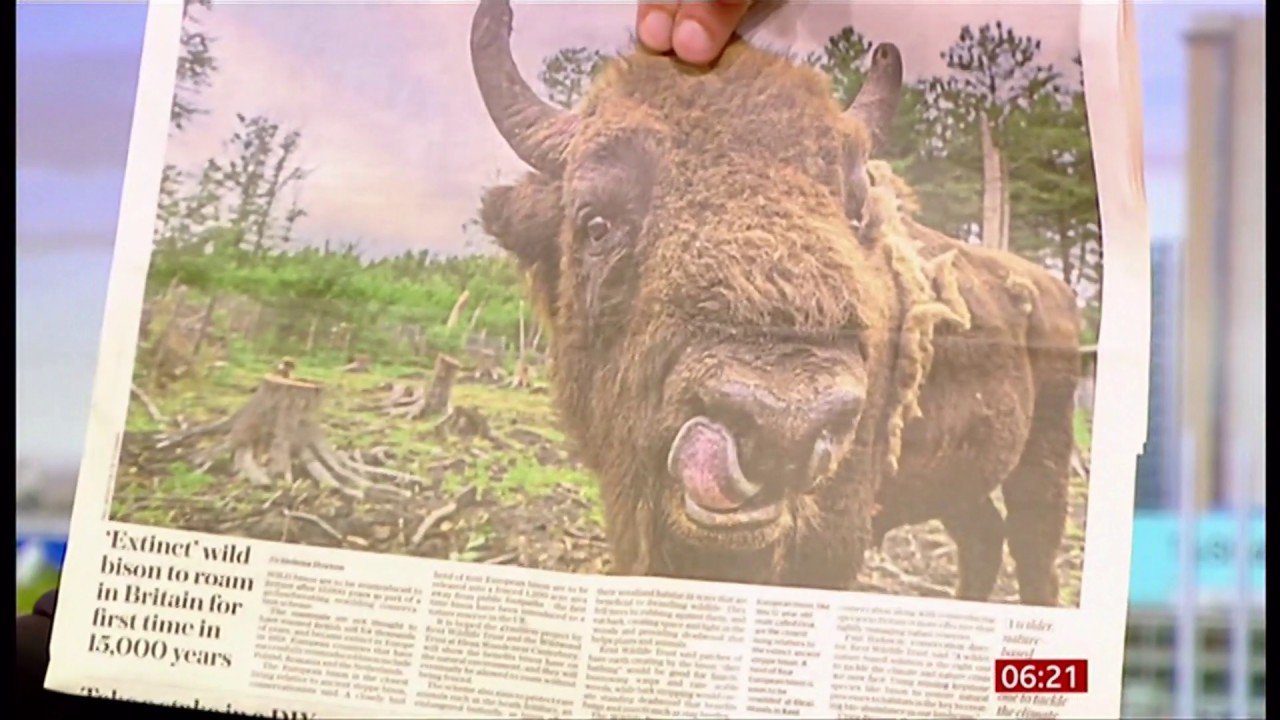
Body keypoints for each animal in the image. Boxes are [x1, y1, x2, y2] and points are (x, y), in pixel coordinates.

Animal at [469, 0, 1082, 606]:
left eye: (854, 215)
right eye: (596, 223)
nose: (785, 424)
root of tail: (1055, 293)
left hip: (1043, 461)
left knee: (1032, 550)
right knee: (983, 536)